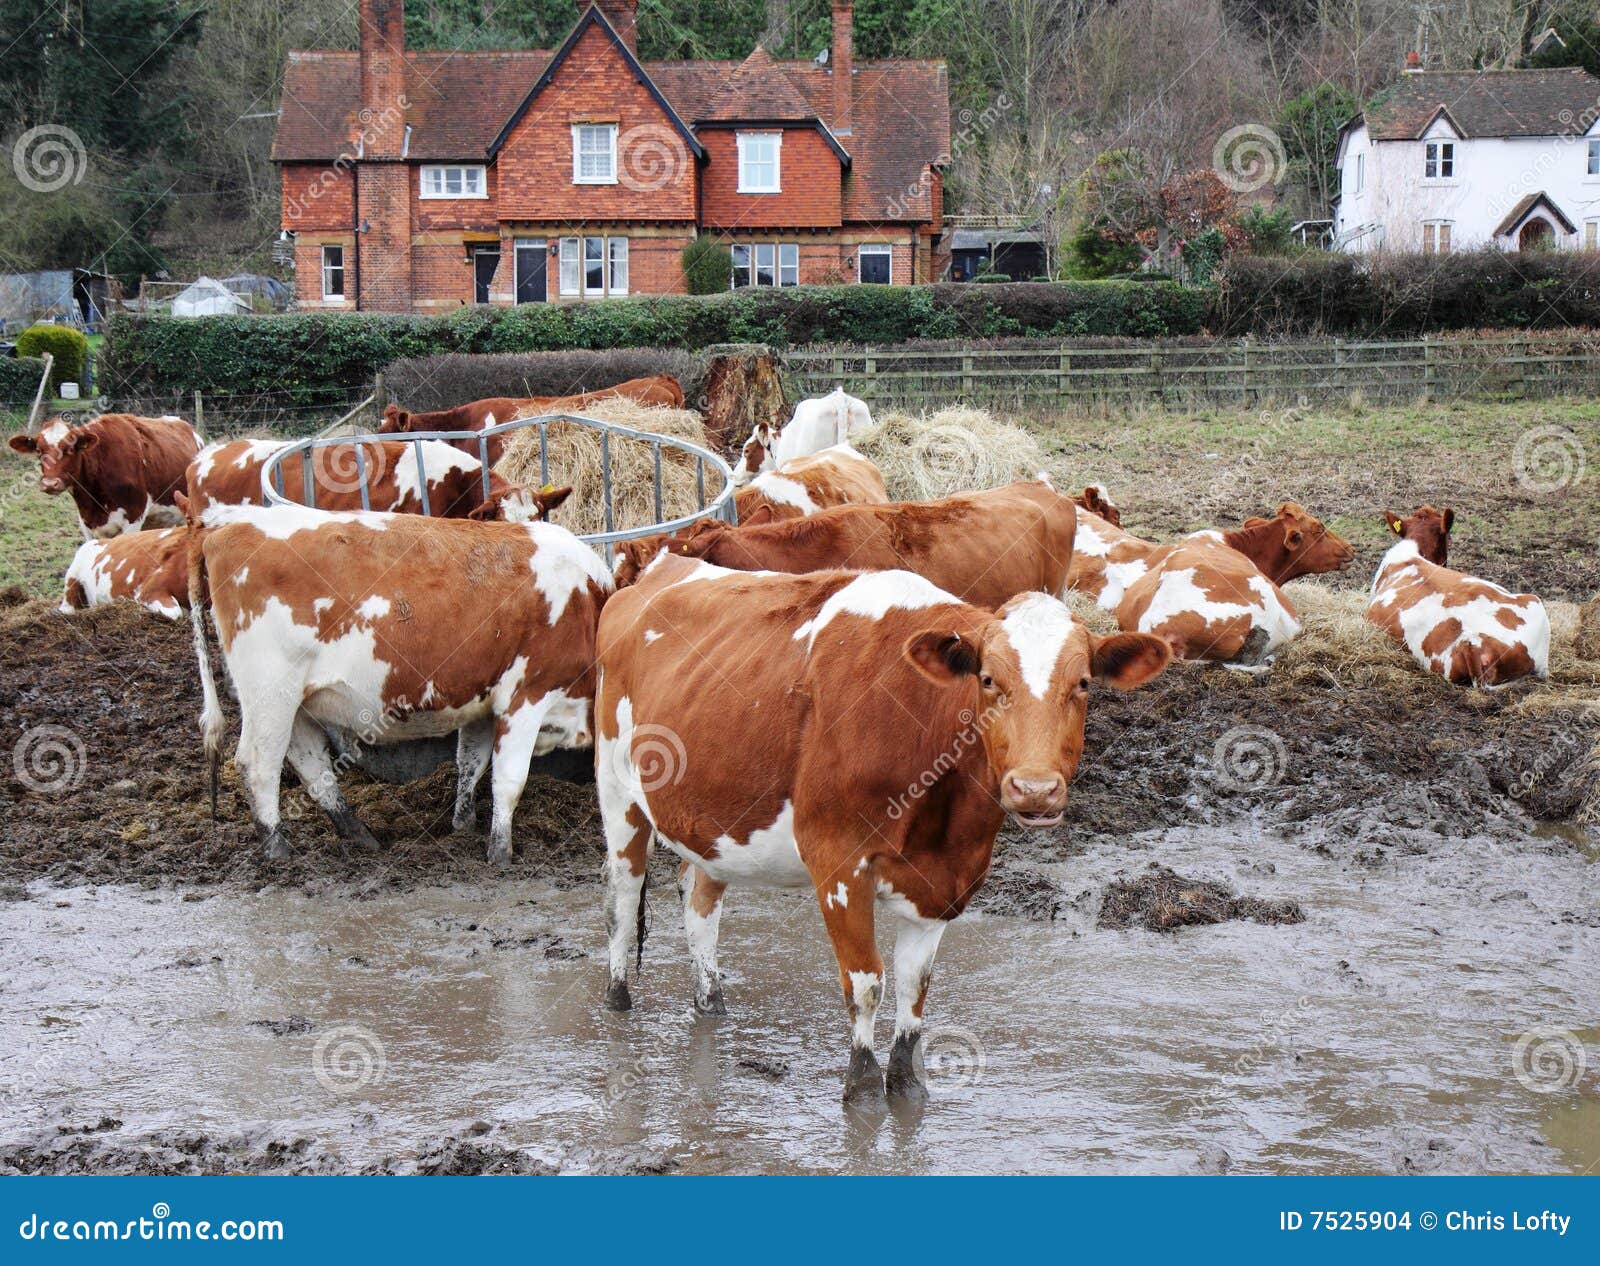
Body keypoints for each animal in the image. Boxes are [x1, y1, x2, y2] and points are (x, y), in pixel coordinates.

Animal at [188, 505, 614, 863]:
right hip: (271, 691)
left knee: (310, 761)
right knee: (259, 763)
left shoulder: (482, 698)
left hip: (294, 701)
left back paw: (358, 834)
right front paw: (500, 854)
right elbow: (510, 779)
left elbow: (471, 764)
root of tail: (223, 527)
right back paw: (277, 851)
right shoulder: (527, 695)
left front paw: (463, 828)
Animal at [595, 554, 1171, 1100]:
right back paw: (618, 999)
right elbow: (866, 981)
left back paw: (710, 1001)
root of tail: (660, 568)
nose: (1035, 789)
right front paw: (863, 1086)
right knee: (622, 897)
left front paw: (907, 1086)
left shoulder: (943, 880)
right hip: (617, 790)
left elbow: (915, 985)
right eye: (988, 680)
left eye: (1083, 684)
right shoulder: (838, 862)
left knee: (700, 906)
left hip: (713, 822)